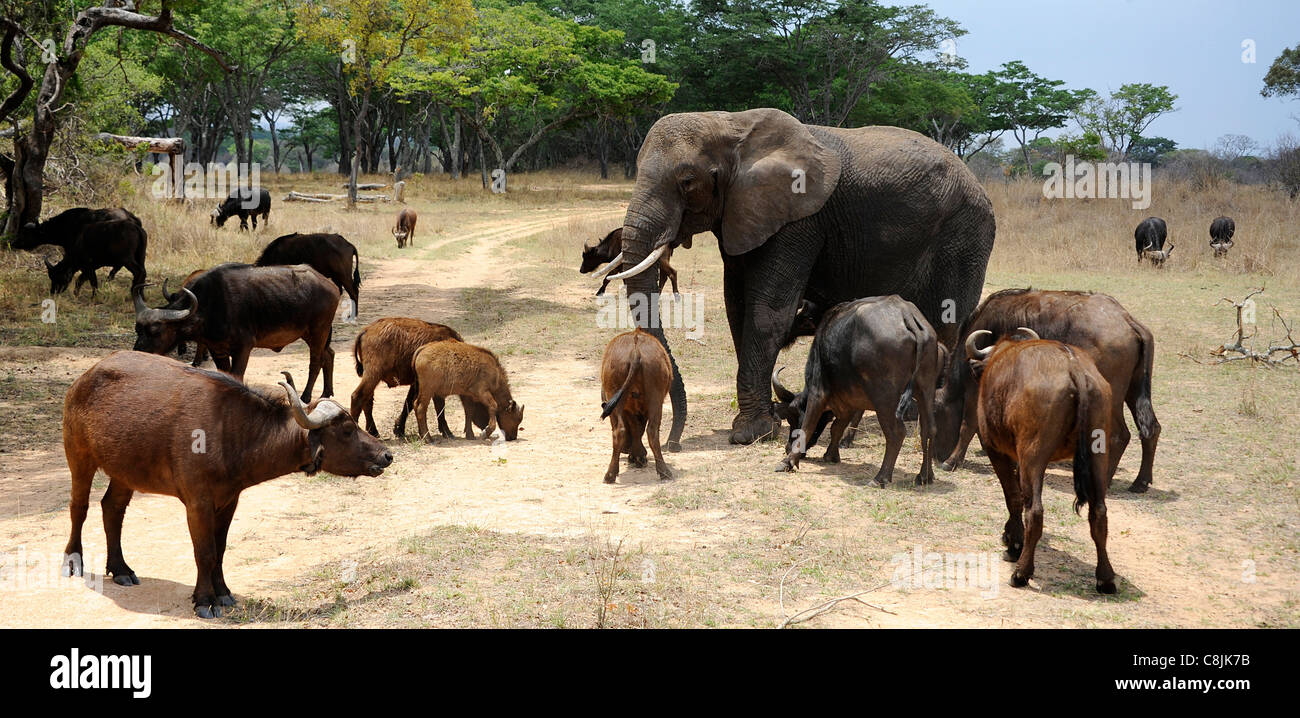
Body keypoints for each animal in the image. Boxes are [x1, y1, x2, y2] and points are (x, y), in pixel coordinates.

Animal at [603, 108, 996, 446]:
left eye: (687, 181)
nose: (673, 442)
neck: (731, 124)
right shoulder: (744, 214)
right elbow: (738, 307)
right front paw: (765, 424)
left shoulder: (800, 219)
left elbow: (767, 312)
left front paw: (750, 434)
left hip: (965, 234)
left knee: (946, 319)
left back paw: (915, 413)